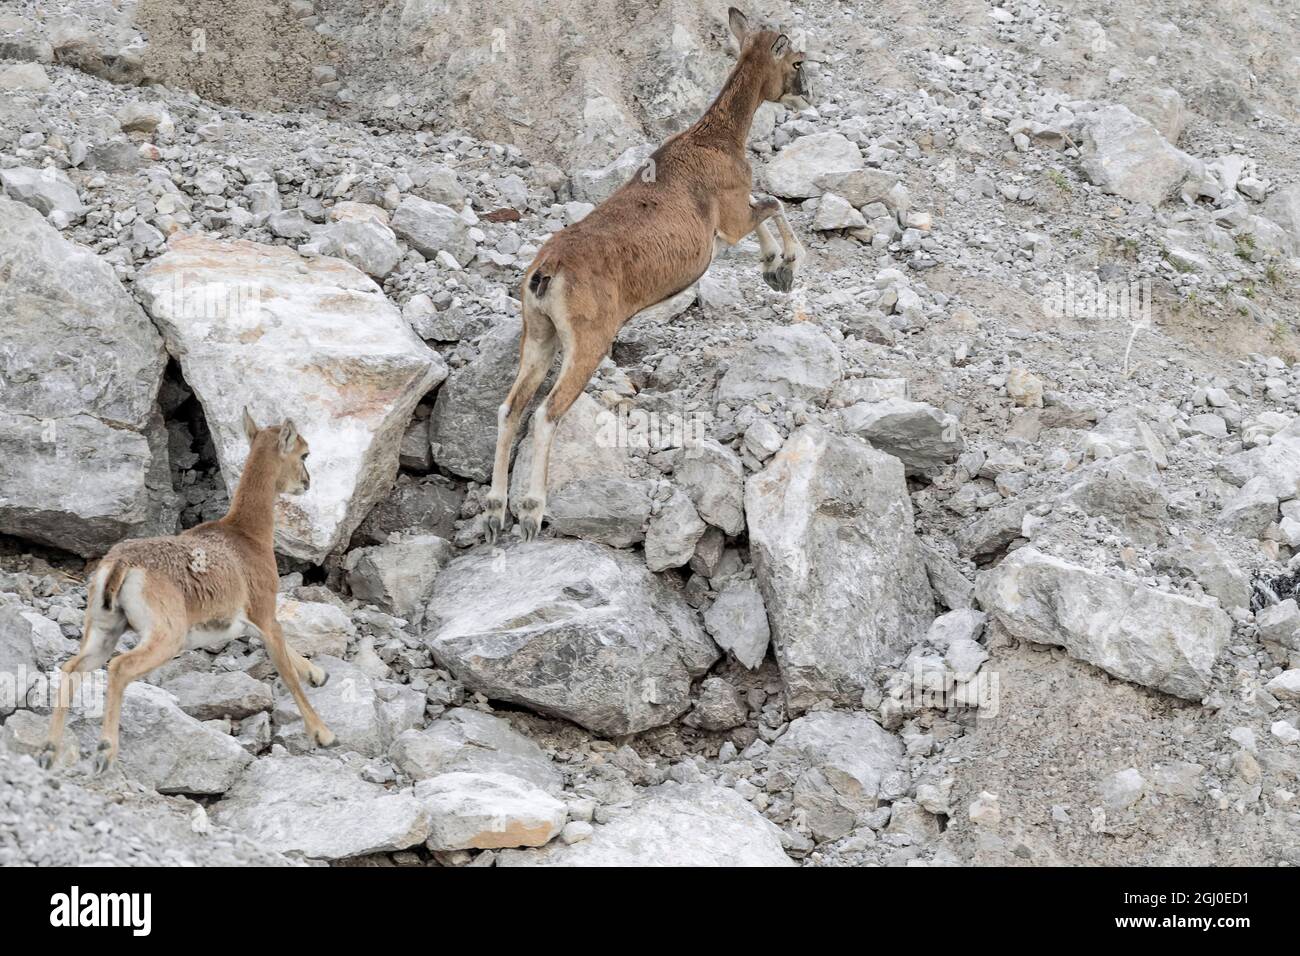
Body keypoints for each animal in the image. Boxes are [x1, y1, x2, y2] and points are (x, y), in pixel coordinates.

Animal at [39, 409, 335, 775]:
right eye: (304, 454)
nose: (307, 483)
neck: (247, 536)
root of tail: (121, 564)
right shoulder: (264, 613)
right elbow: (289, 675)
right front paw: (323, 734)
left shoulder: (249, 623)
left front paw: (318, 674)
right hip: (166, 636)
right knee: (119, 667)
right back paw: (105, 752)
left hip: (103, 630)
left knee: (72, 668)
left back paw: (49, 751)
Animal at [484, 7, 808, 543]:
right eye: (798, 60)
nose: (807, 91)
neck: (717, 139)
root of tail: (545, 274)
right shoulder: (732, 215)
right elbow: (773, 205)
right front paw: (781, 267)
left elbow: (767, 208)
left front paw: (772, 268)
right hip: (587, 343)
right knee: (546, 415)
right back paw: (530, 512)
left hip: (540, 336)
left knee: (511, 409)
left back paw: (493, 511)